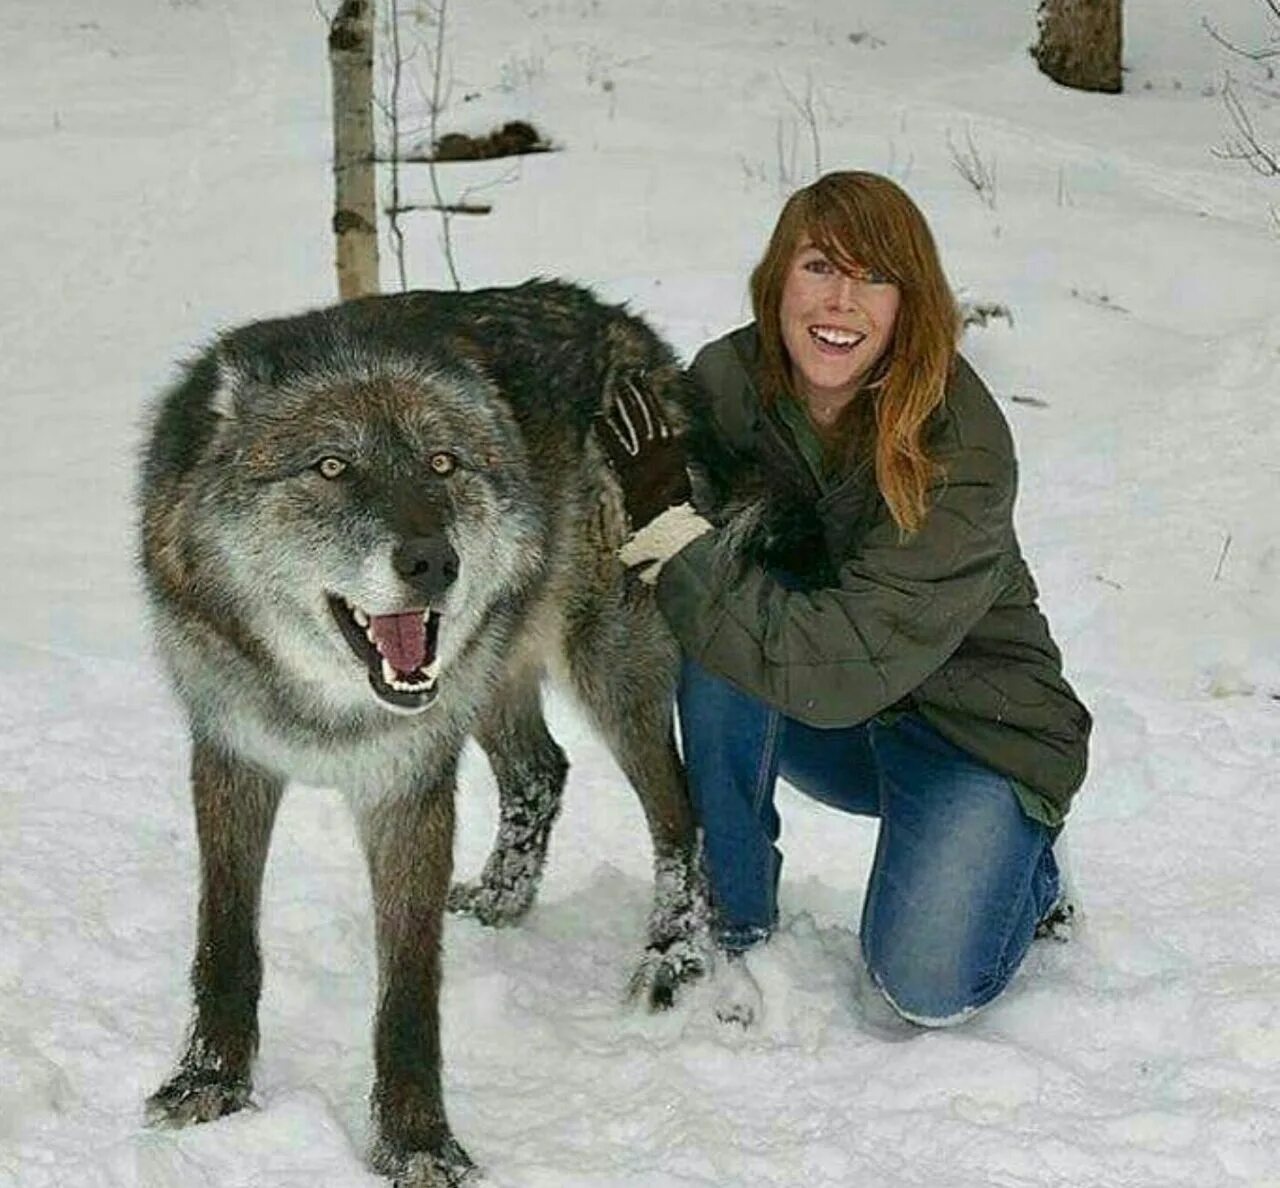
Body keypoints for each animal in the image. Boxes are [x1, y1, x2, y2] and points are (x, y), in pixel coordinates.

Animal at [144, 280, 716, 1188]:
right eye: (332, 467)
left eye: (443, 464)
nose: (433, 563)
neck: (329, 705)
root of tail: (627, 326)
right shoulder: (230, 754)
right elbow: (226, 941)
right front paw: (209, 1084)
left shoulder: (409, 784)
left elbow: (409, 990)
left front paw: (416, 1144)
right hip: (485, 676)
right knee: (542, 770)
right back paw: (501, 900)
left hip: (607, 669)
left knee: (677, 815)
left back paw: (670, 960)